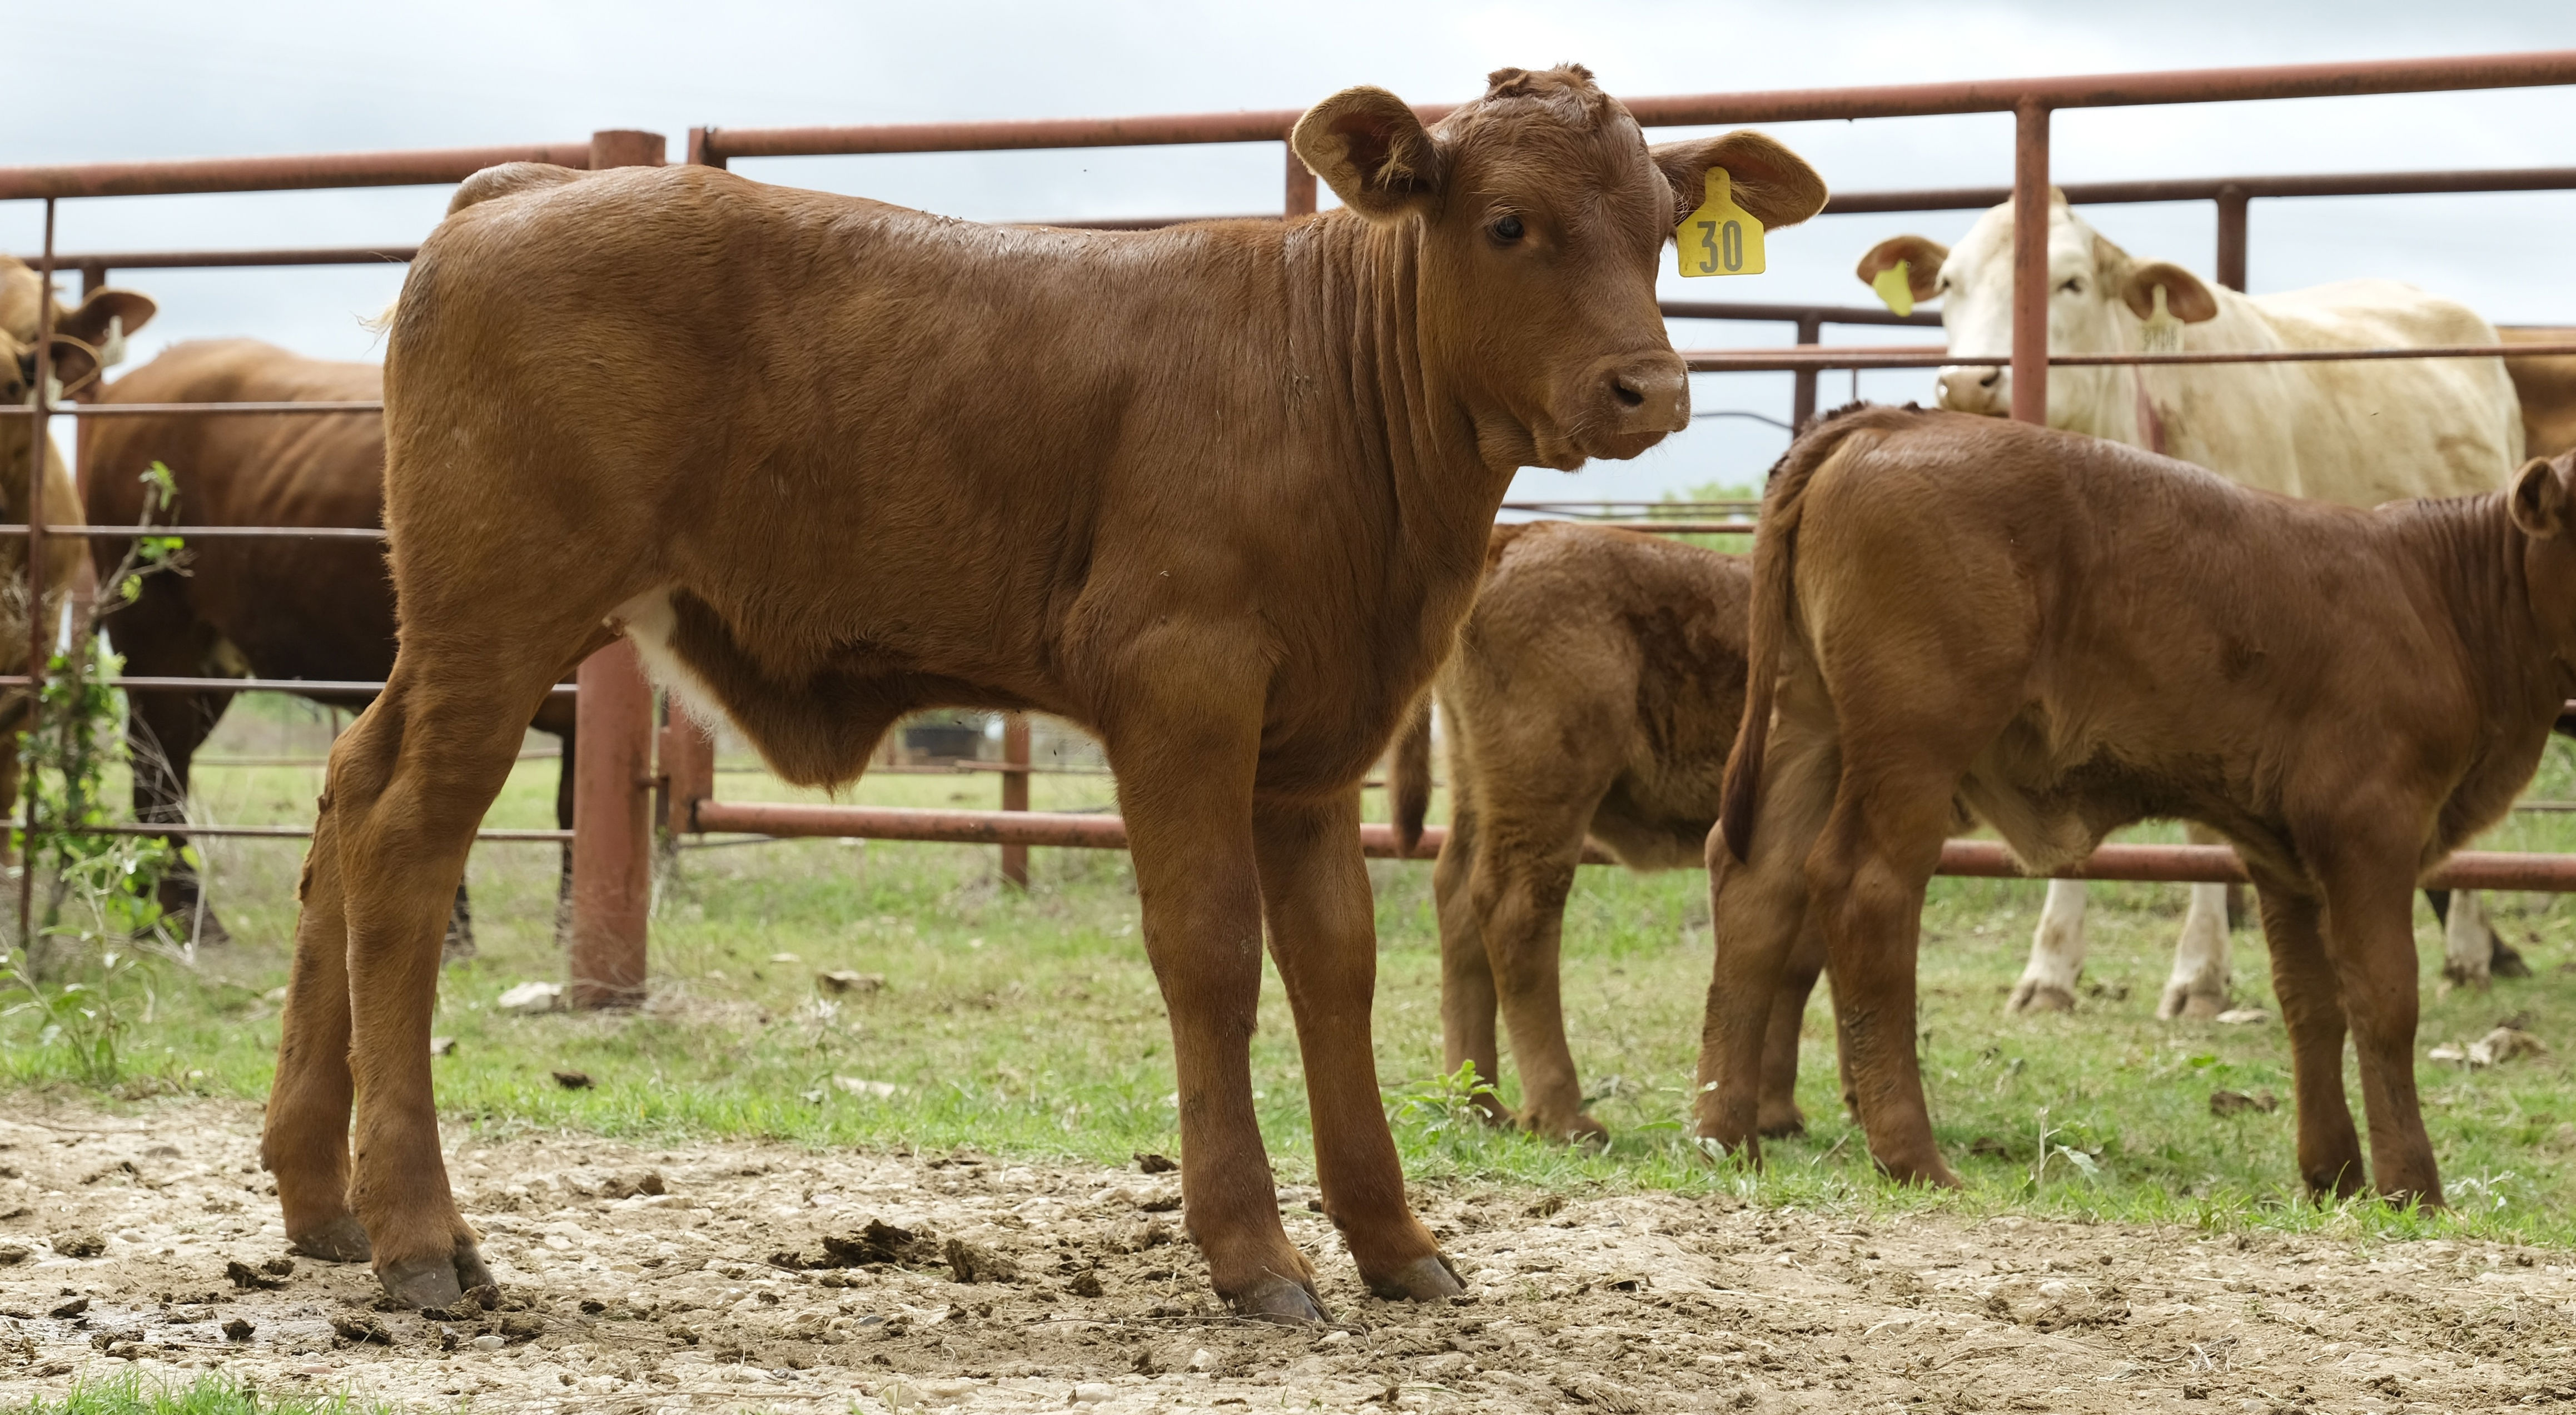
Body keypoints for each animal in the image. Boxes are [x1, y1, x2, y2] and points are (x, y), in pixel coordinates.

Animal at [1387, 521, 1826, 1145]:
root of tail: (1514, 534)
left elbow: (1796, 960)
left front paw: (1776, 1112)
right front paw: (1776, 1114)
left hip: (1479, 786)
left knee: (1456, 896)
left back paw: (1480, 1106)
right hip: (1549, 788)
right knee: (1516, 909)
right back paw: (1562, 1115)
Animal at [1703, 404, 2576, 1206]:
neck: (2446, 603)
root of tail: (1887, 422)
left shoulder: (2283, 854)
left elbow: (2310, 1003)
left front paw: (2333, 1174)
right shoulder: (2369, 827)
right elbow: (2385, 999)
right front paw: (2411, 1186)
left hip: (1809, 723)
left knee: (1755, 883)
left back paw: (1726, 1134)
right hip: (1913, 741)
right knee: (1866, 890)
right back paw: (1910, 1156)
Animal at [1856, 193, 2526, 1018]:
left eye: (2070, 282)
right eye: (1947, 284)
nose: (1967, 384)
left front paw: (2200, 972)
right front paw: (2049, 969)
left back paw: (2467, 949)